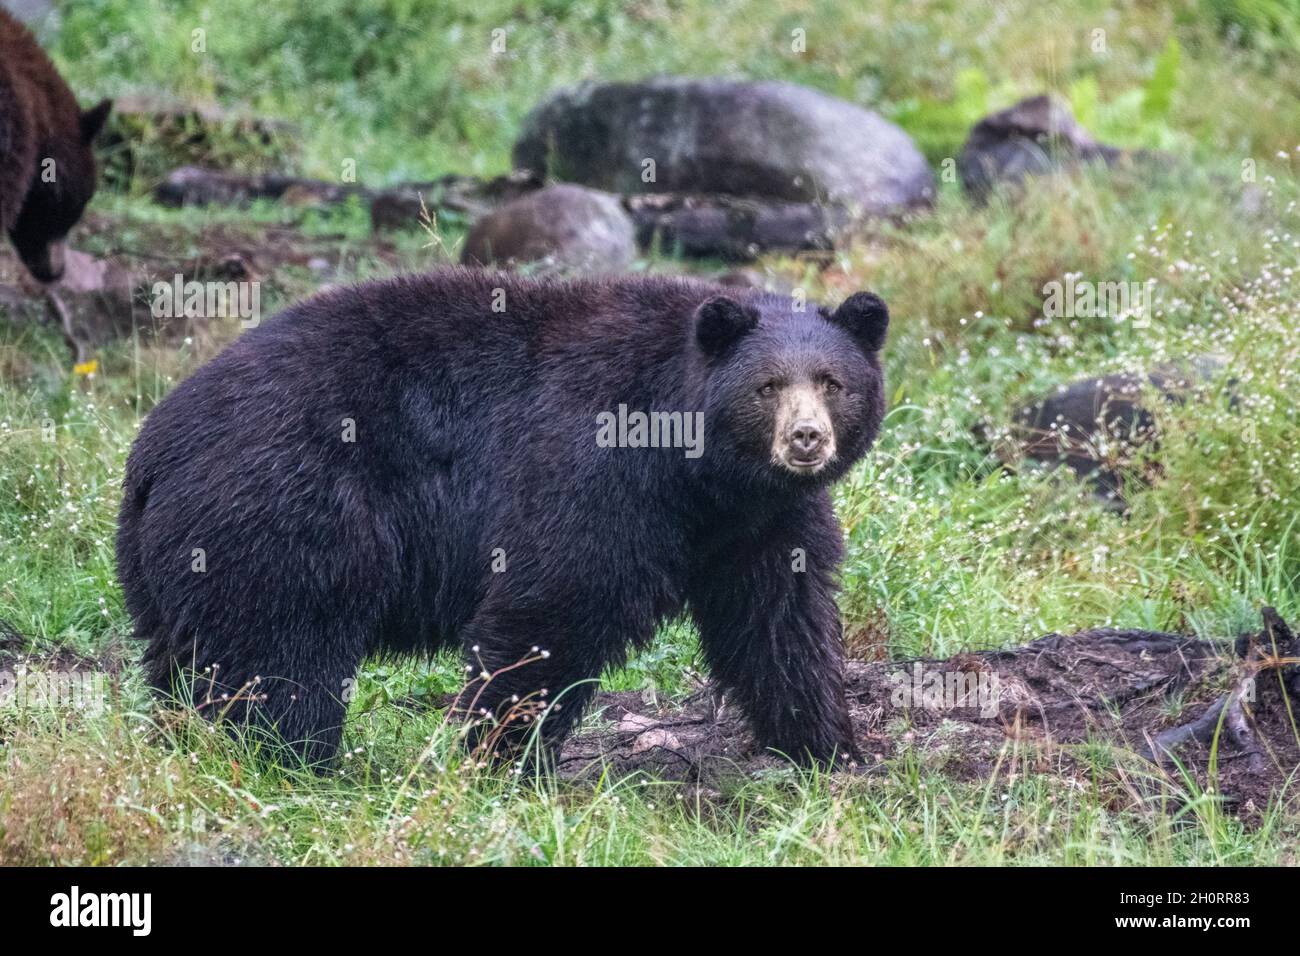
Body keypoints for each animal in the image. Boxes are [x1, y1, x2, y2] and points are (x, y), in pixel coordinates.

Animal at [116, 268, 889, 768]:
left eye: (833, 382)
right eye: (768, 386)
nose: (806, 439)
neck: (700, 471)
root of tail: (154, 452)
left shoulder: (759, 520)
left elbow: (777, 618)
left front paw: (826, 746)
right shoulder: (596, 466)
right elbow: (553, 603)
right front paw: (501, 755)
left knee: (189, 657)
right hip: (289, 513)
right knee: (282, 657)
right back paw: (286, 761)